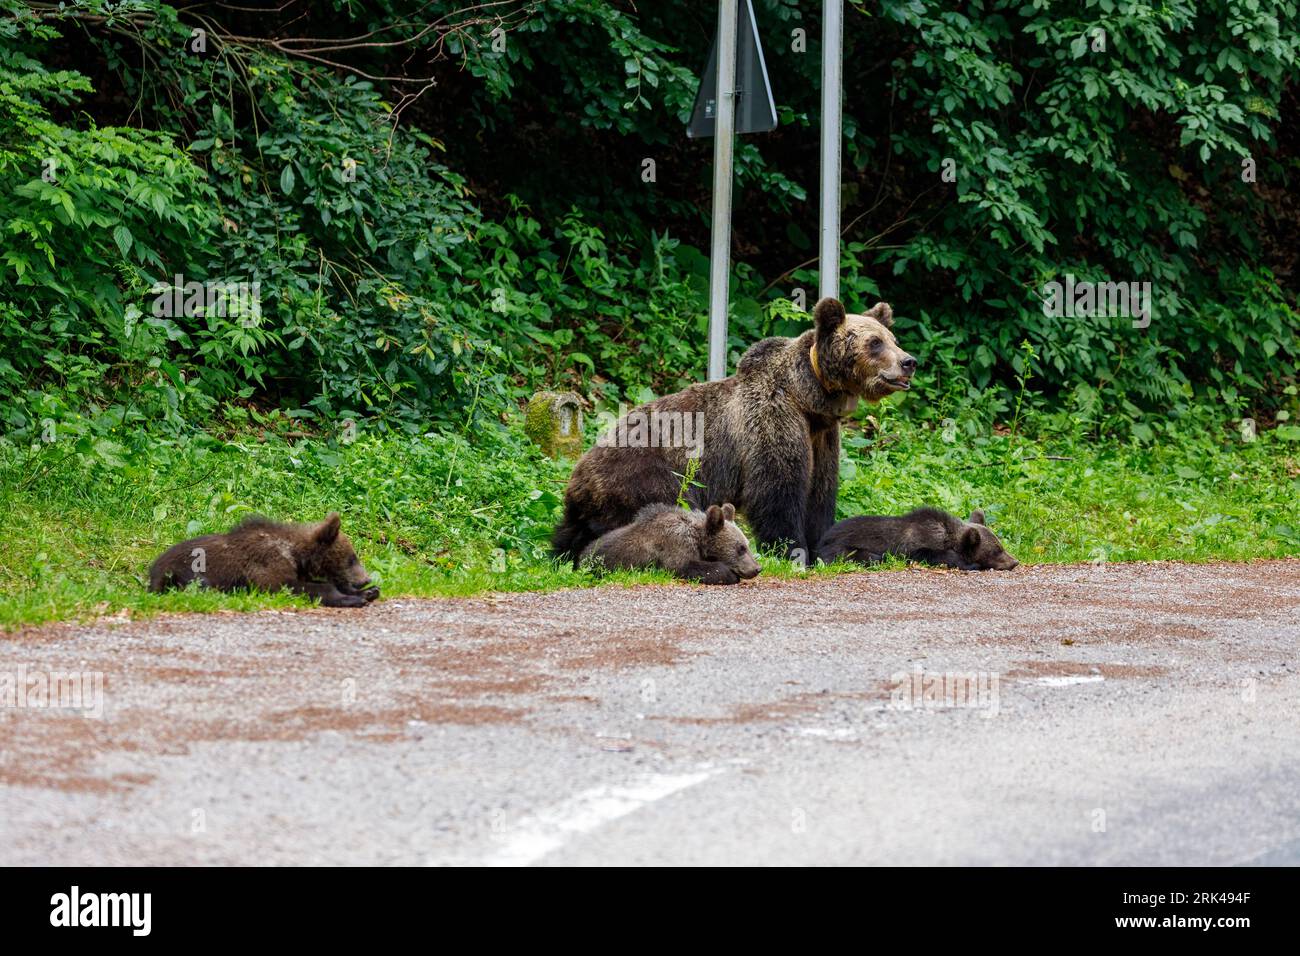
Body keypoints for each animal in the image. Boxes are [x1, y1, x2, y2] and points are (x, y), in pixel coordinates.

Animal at [148, 513, 380, 607]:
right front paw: (354, 598)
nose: (366, 579)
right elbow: (288, 585)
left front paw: (368, 592)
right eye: (352, 558)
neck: (297, 555)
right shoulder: (266, 566)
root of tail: (153, 569)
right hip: (184, 571)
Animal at [553, 297, 916, 563]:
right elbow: (777, 491)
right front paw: (793, 551)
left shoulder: (822, 436)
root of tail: (578, 473)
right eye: (874, 343)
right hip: (647, 478)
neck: (808, 397)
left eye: (893, 339)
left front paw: (824, 547)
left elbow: (820, 493)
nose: (909, 362)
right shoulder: (772, 422)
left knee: (568, 533)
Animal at [580, 502, 761, 585]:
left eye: (747, 545)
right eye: (740, 548)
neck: (698, 540)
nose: (757, 568)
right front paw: (729, 574)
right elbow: (682, 566)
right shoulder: (673, 547)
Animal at [816, 508, 1018, 571]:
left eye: (1001, 545)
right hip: (843, 548)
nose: (1015, 561)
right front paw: (971, 564)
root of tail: (821, 540)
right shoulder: (916, 546)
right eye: (997, 549)